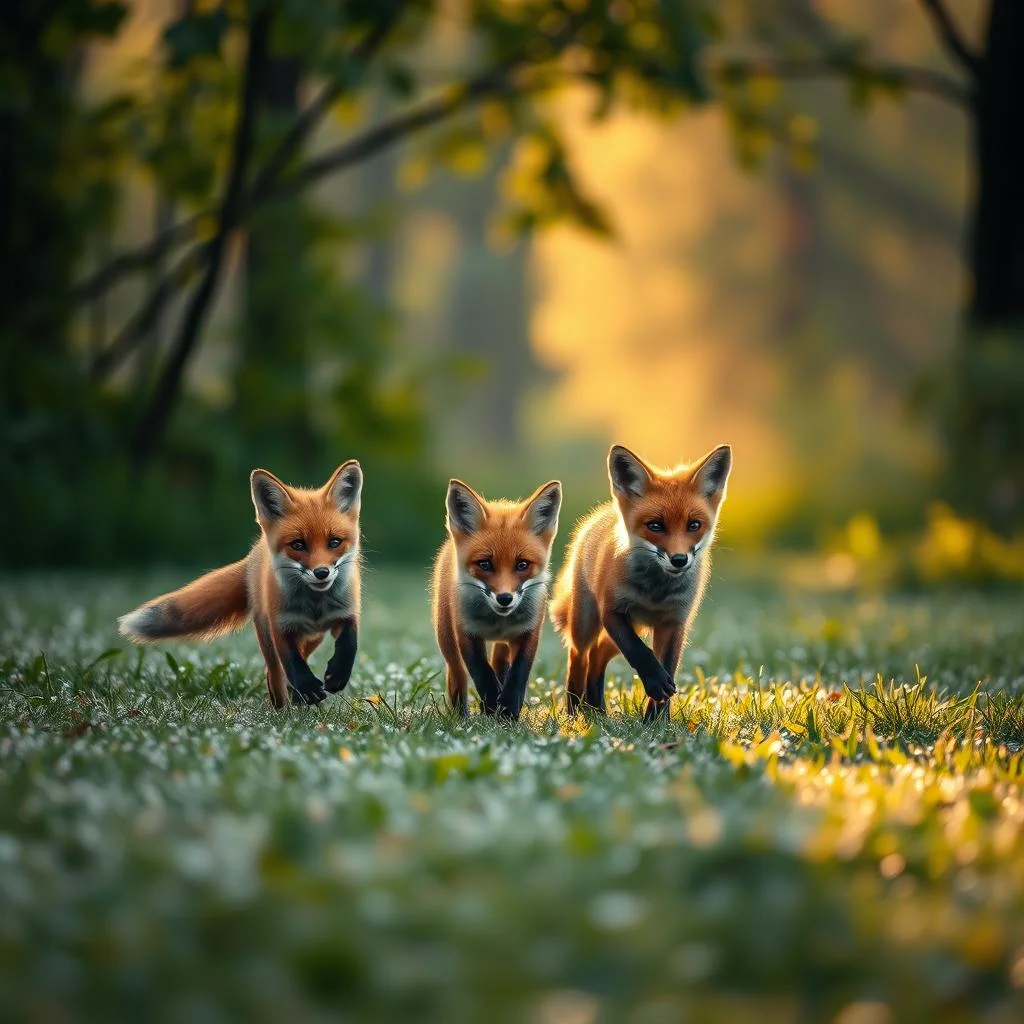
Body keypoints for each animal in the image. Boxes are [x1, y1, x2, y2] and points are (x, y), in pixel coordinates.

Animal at [118, 462, 363, 709]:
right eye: (298, 545)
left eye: (334, 542)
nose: (321, 573)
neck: (315, 606)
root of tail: (255, 551)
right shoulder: (280, 625)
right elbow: (292, 661)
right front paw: (308, 688)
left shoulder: (345, 613)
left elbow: (350, 643)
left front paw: (337, 675)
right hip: (267, 634)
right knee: (273, 672)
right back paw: (282, 707)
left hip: (313, 637)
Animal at [431, 477, 562, 719]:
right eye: (485, 564)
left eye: (522, 565)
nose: (504, 598)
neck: (497, 623)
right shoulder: (466, 632)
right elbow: (482, 673)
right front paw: (493, 705)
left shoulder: (529, 632)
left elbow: (518, 673)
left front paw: (508, 709)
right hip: (446, 637)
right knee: (457, 673)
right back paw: (461, 715)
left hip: (503, 644)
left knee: (500, 664)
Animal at [550, 443, 732, 723]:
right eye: (655, 525)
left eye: (694, 525)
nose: (679, 560)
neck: (655, 593)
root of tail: (599, 515)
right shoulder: (612, 611)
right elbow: (639, 651)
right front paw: (655, 683)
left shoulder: (674, 622)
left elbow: (668, 664)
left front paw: (656, 721)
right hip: (587, 622)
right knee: (579, 656)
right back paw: (575, 712)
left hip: (627, 630)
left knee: (597, 655)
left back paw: (597, 709)